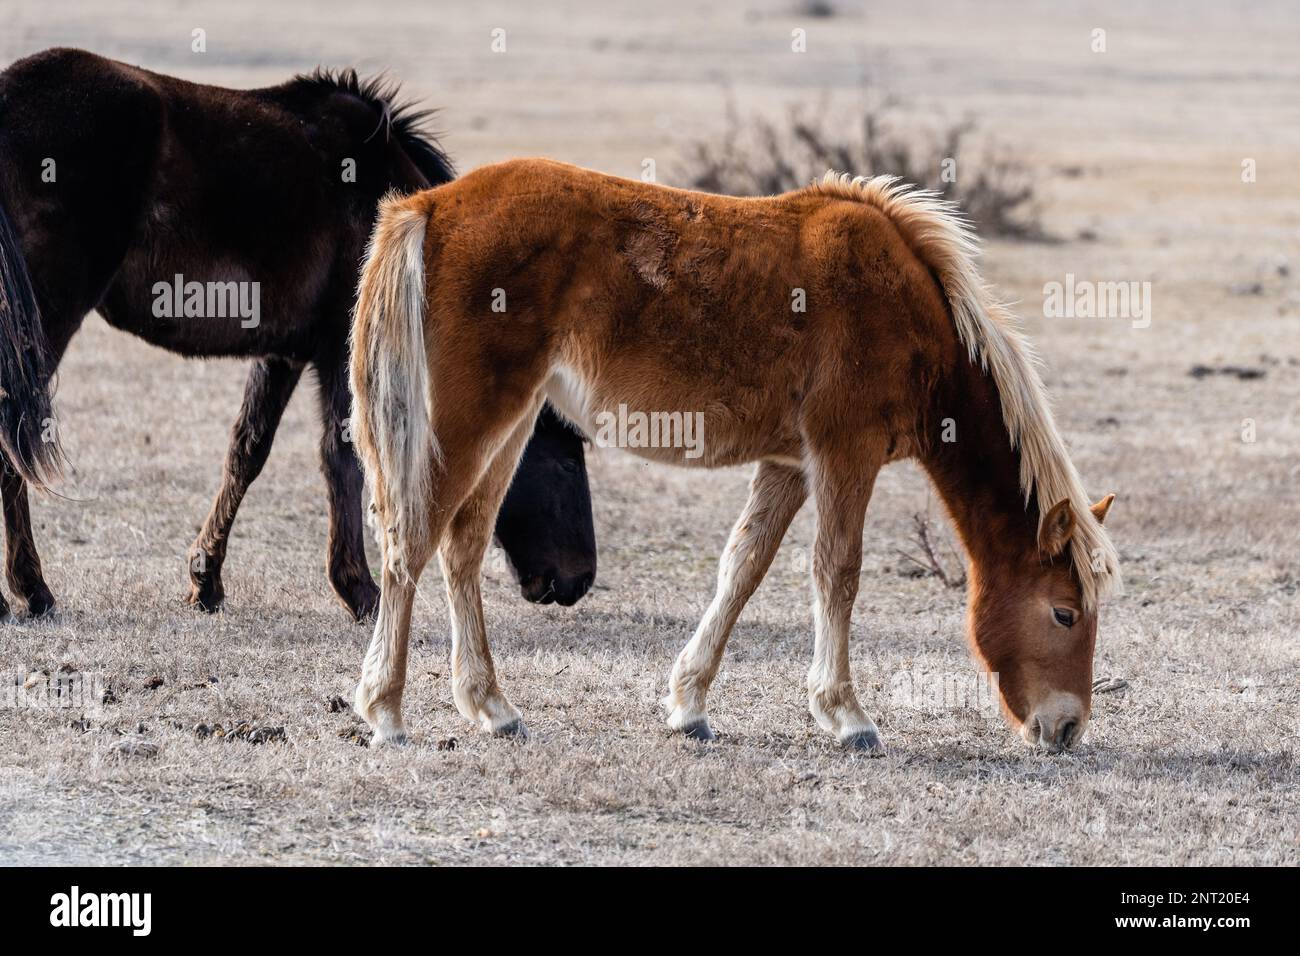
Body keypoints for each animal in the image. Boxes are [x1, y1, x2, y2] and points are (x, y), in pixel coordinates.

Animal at [0, 49, 597, 622]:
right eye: (569, 458)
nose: (580, 581)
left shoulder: (283, 354)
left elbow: (247, 451)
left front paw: (206, 579)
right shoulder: (340, 351)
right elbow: (345, 453)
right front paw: (361, 591)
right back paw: (32, 590)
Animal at [348, 157, 1121, 753]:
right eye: (1064, 613)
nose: (1067, 728)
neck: (909, 310)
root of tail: (429, 205)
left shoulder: (790, 465)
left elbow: (741, 569)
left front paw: (689, 705)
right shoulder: (845, 453)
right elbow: (837, 572)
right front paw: (847, 717)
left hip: (511, 426)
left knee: (462, 546)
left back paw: (493, 708)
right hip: (471, 421)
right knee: (409, 543)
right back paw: (385, 711)